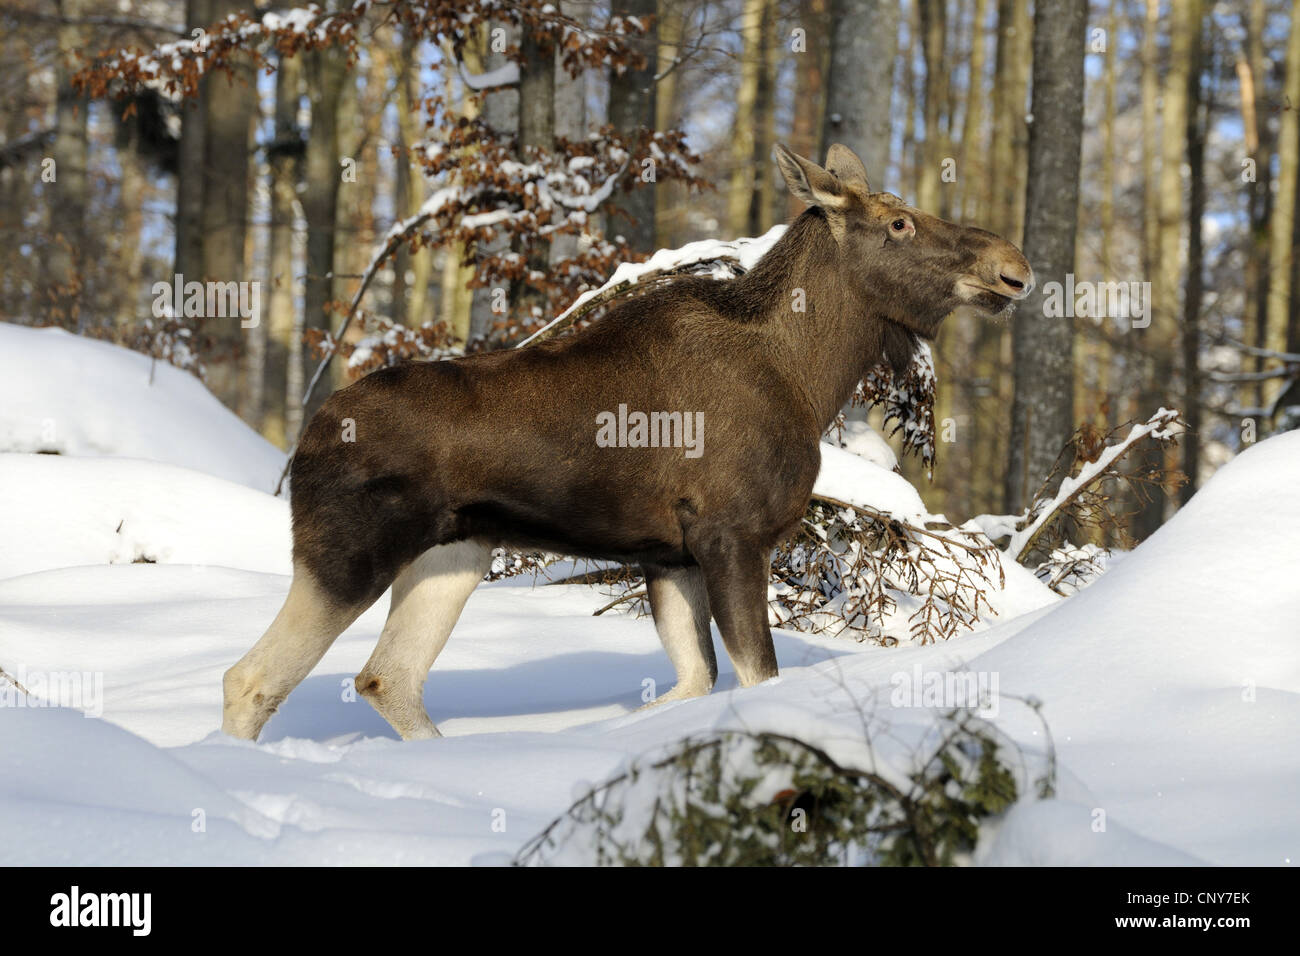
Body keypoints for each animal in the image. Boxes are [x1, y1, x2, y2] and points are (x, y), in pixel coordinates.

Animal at [222, 143, 1033, 742]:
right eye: (898, 224)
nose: (1014, 268)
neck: (810, 379)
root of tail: (306, 436)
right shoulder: (731, 534)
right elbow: (754, 677)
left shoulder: (669, 554)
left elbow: (694, 681)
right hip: (347, 553)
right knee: (252, 679)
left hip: (454, 553)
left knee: (386, 678)